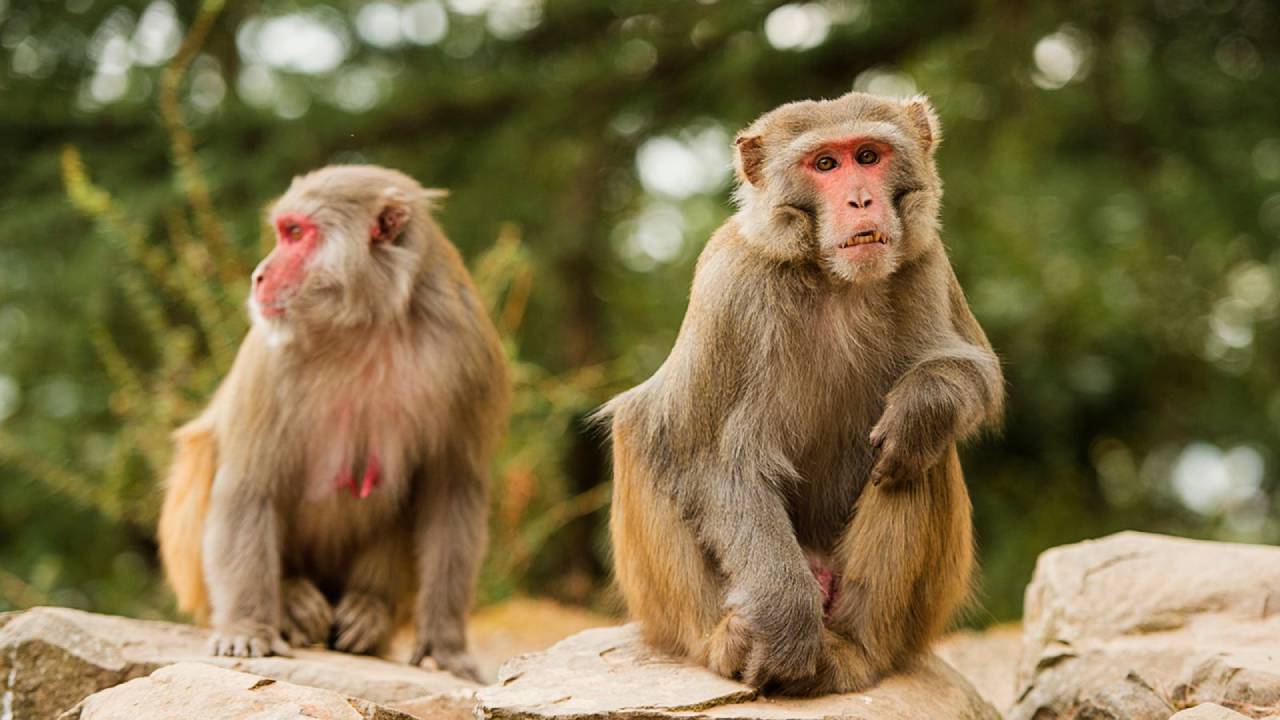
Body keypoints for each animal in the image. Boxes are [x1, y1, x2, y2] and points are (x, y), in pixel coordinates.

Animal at [157, 165, 508, 681]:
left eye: (296, 234)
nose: (258, 276)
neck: (368, 326)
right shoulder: (270, 357)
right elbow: (248, 486)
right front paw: (247, 626)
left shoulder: (468, 352)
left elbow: (452, 492)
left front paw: (445, 645)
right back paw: (291, 601)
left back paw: (370, 610)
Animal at [601, 92, 1004, 695]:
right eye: (825, 165)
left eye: (868, 155)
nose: (861, 199)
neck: (832, 277)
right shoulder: (732, 284)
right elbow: (709, 458)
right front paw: (786, 627)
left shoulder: (926, 260)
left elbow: (978, 375)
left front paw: (926, 403)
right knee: (642, 432)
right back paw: (727, 641)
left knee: (916, 458)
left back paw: (853, 650)